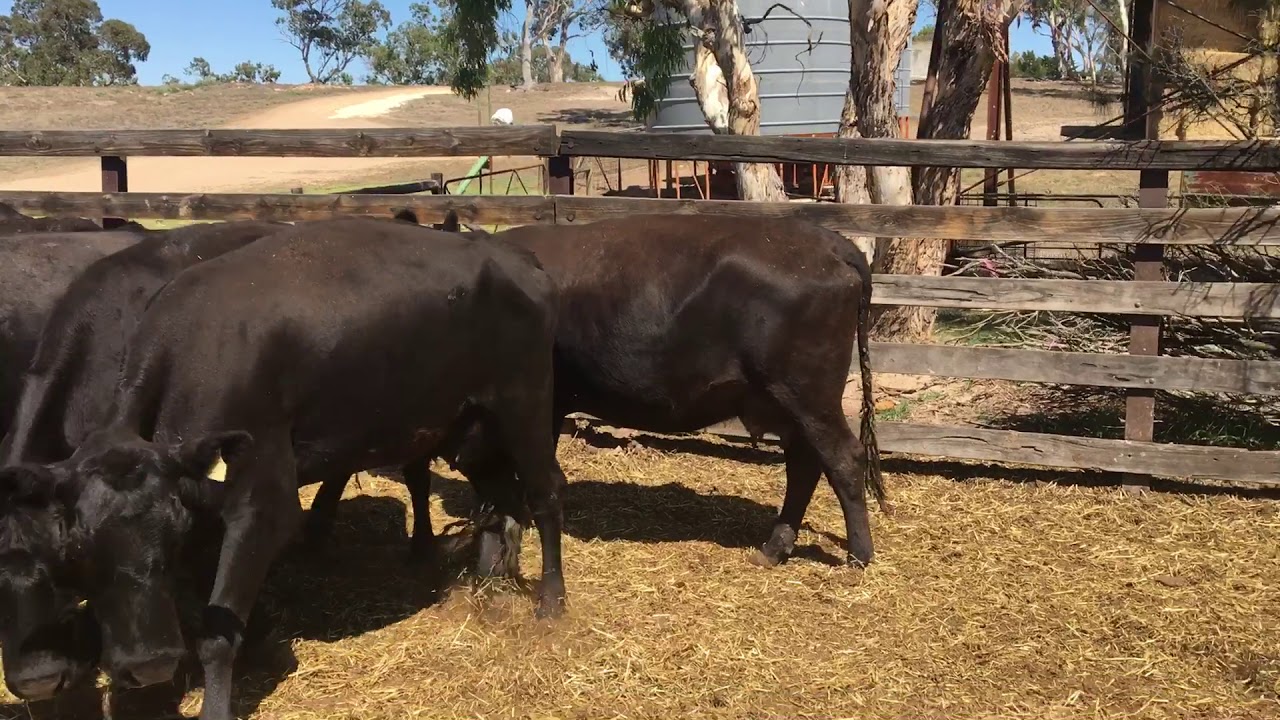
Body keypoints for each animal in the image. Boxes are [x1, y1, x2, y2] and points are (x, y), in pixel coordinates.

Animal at [0, 217, 566, 719]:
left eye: (57, 562)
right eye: (78, 552)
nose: (150, 665)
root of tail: (513, 256)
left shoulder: (261, 501)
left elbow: (216, 630)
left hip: (526, 407)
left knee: (544, 496)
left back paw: (551, 602)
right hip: (463, 428)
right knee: (498, 498)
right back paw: (488, 584)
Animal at [311, 213, 887, 577]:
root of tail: (833, 244)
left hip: (806, 391)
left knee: (842, 458)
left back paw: (859, 555)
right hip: (782, 399)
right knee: (804, 465)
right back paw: (774, 547)